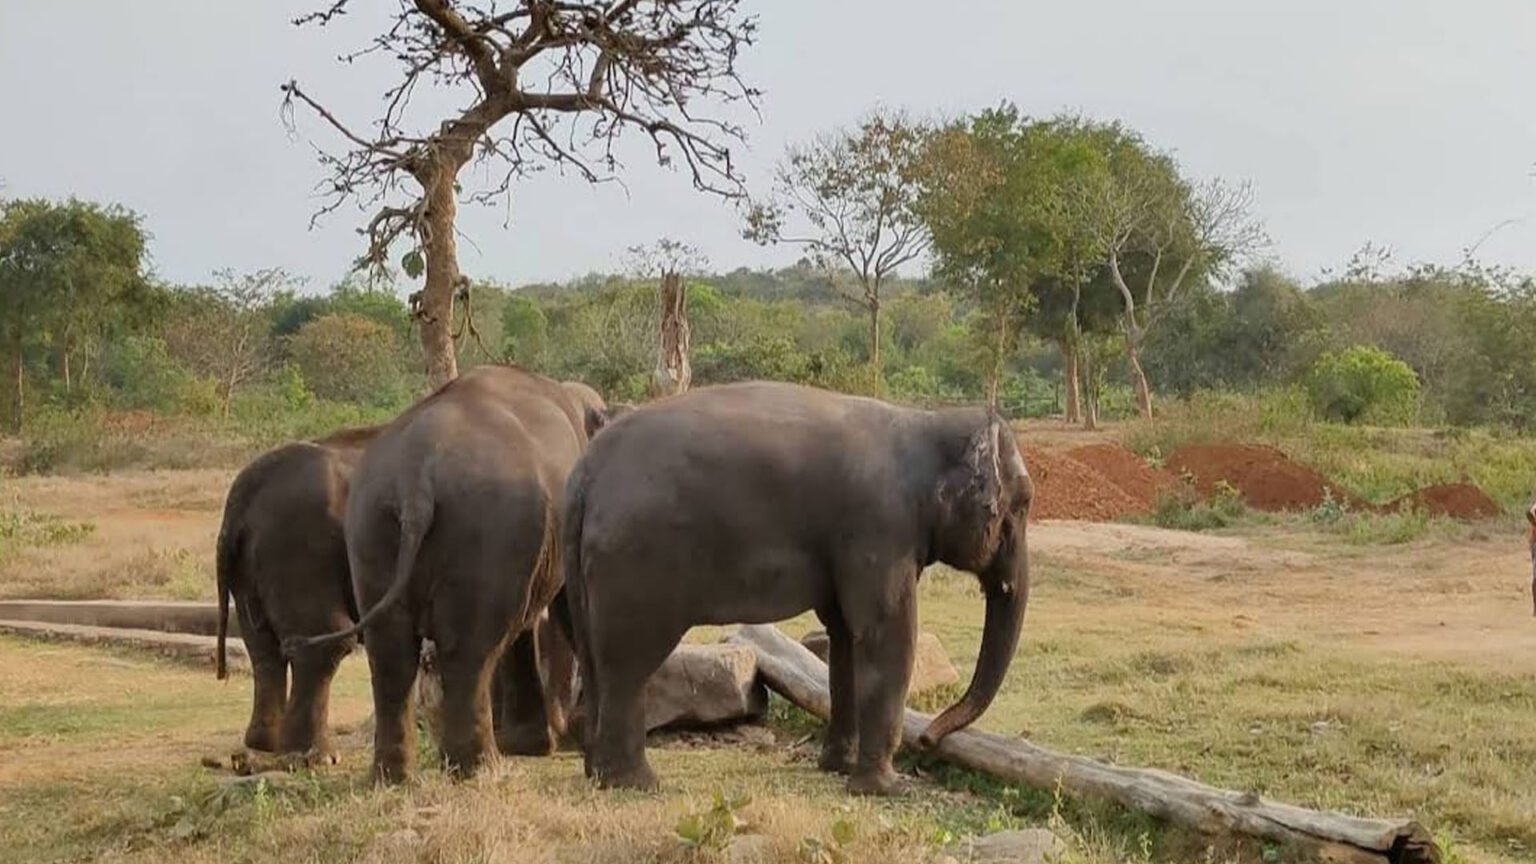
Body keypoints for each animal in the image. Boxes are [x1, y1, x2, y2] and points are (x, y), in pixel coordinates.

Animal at [291, 365, 611, 782]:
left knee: (390, 653)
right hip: (483, 527)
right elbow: (566, 603)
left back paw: (395, 776)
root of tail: (414, 479)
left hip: (369, 525)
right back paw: (481, 768)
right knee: (468, 649)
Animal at [563, 381, 1033, 794]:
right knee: (629, 663)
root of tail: (584, 471)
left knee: (594, 658)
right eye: (1024, 504)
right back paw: (636, 783)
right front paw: (887, 789)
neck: (925, 422)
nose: (929, 739)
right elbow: (887, 634)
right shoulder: (880, 530)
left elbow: (844, 636)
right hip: (636, 562)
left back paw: (596, 773)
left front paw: (837, 767)